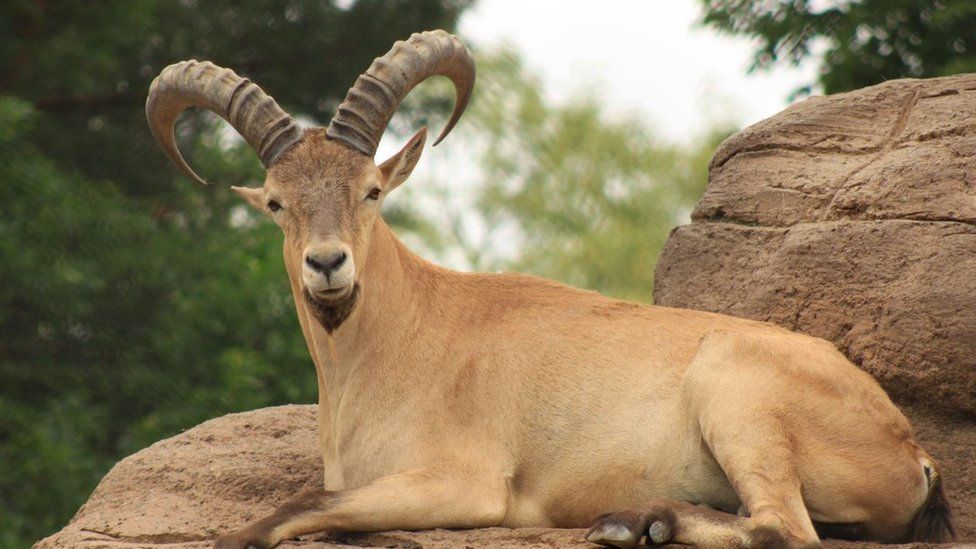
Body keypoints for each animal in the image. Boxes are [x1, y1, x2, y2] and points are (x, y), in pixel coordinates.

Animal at [146, 30, 954, 549]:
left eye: (372, 189)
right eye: (276, 202)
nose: (328, 265)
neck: (397, 343)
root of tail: (912, 451)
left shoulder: (464, 484)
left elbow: (299, 504)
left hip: (738, 392)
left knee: (786, 528)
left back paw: (635, 522)